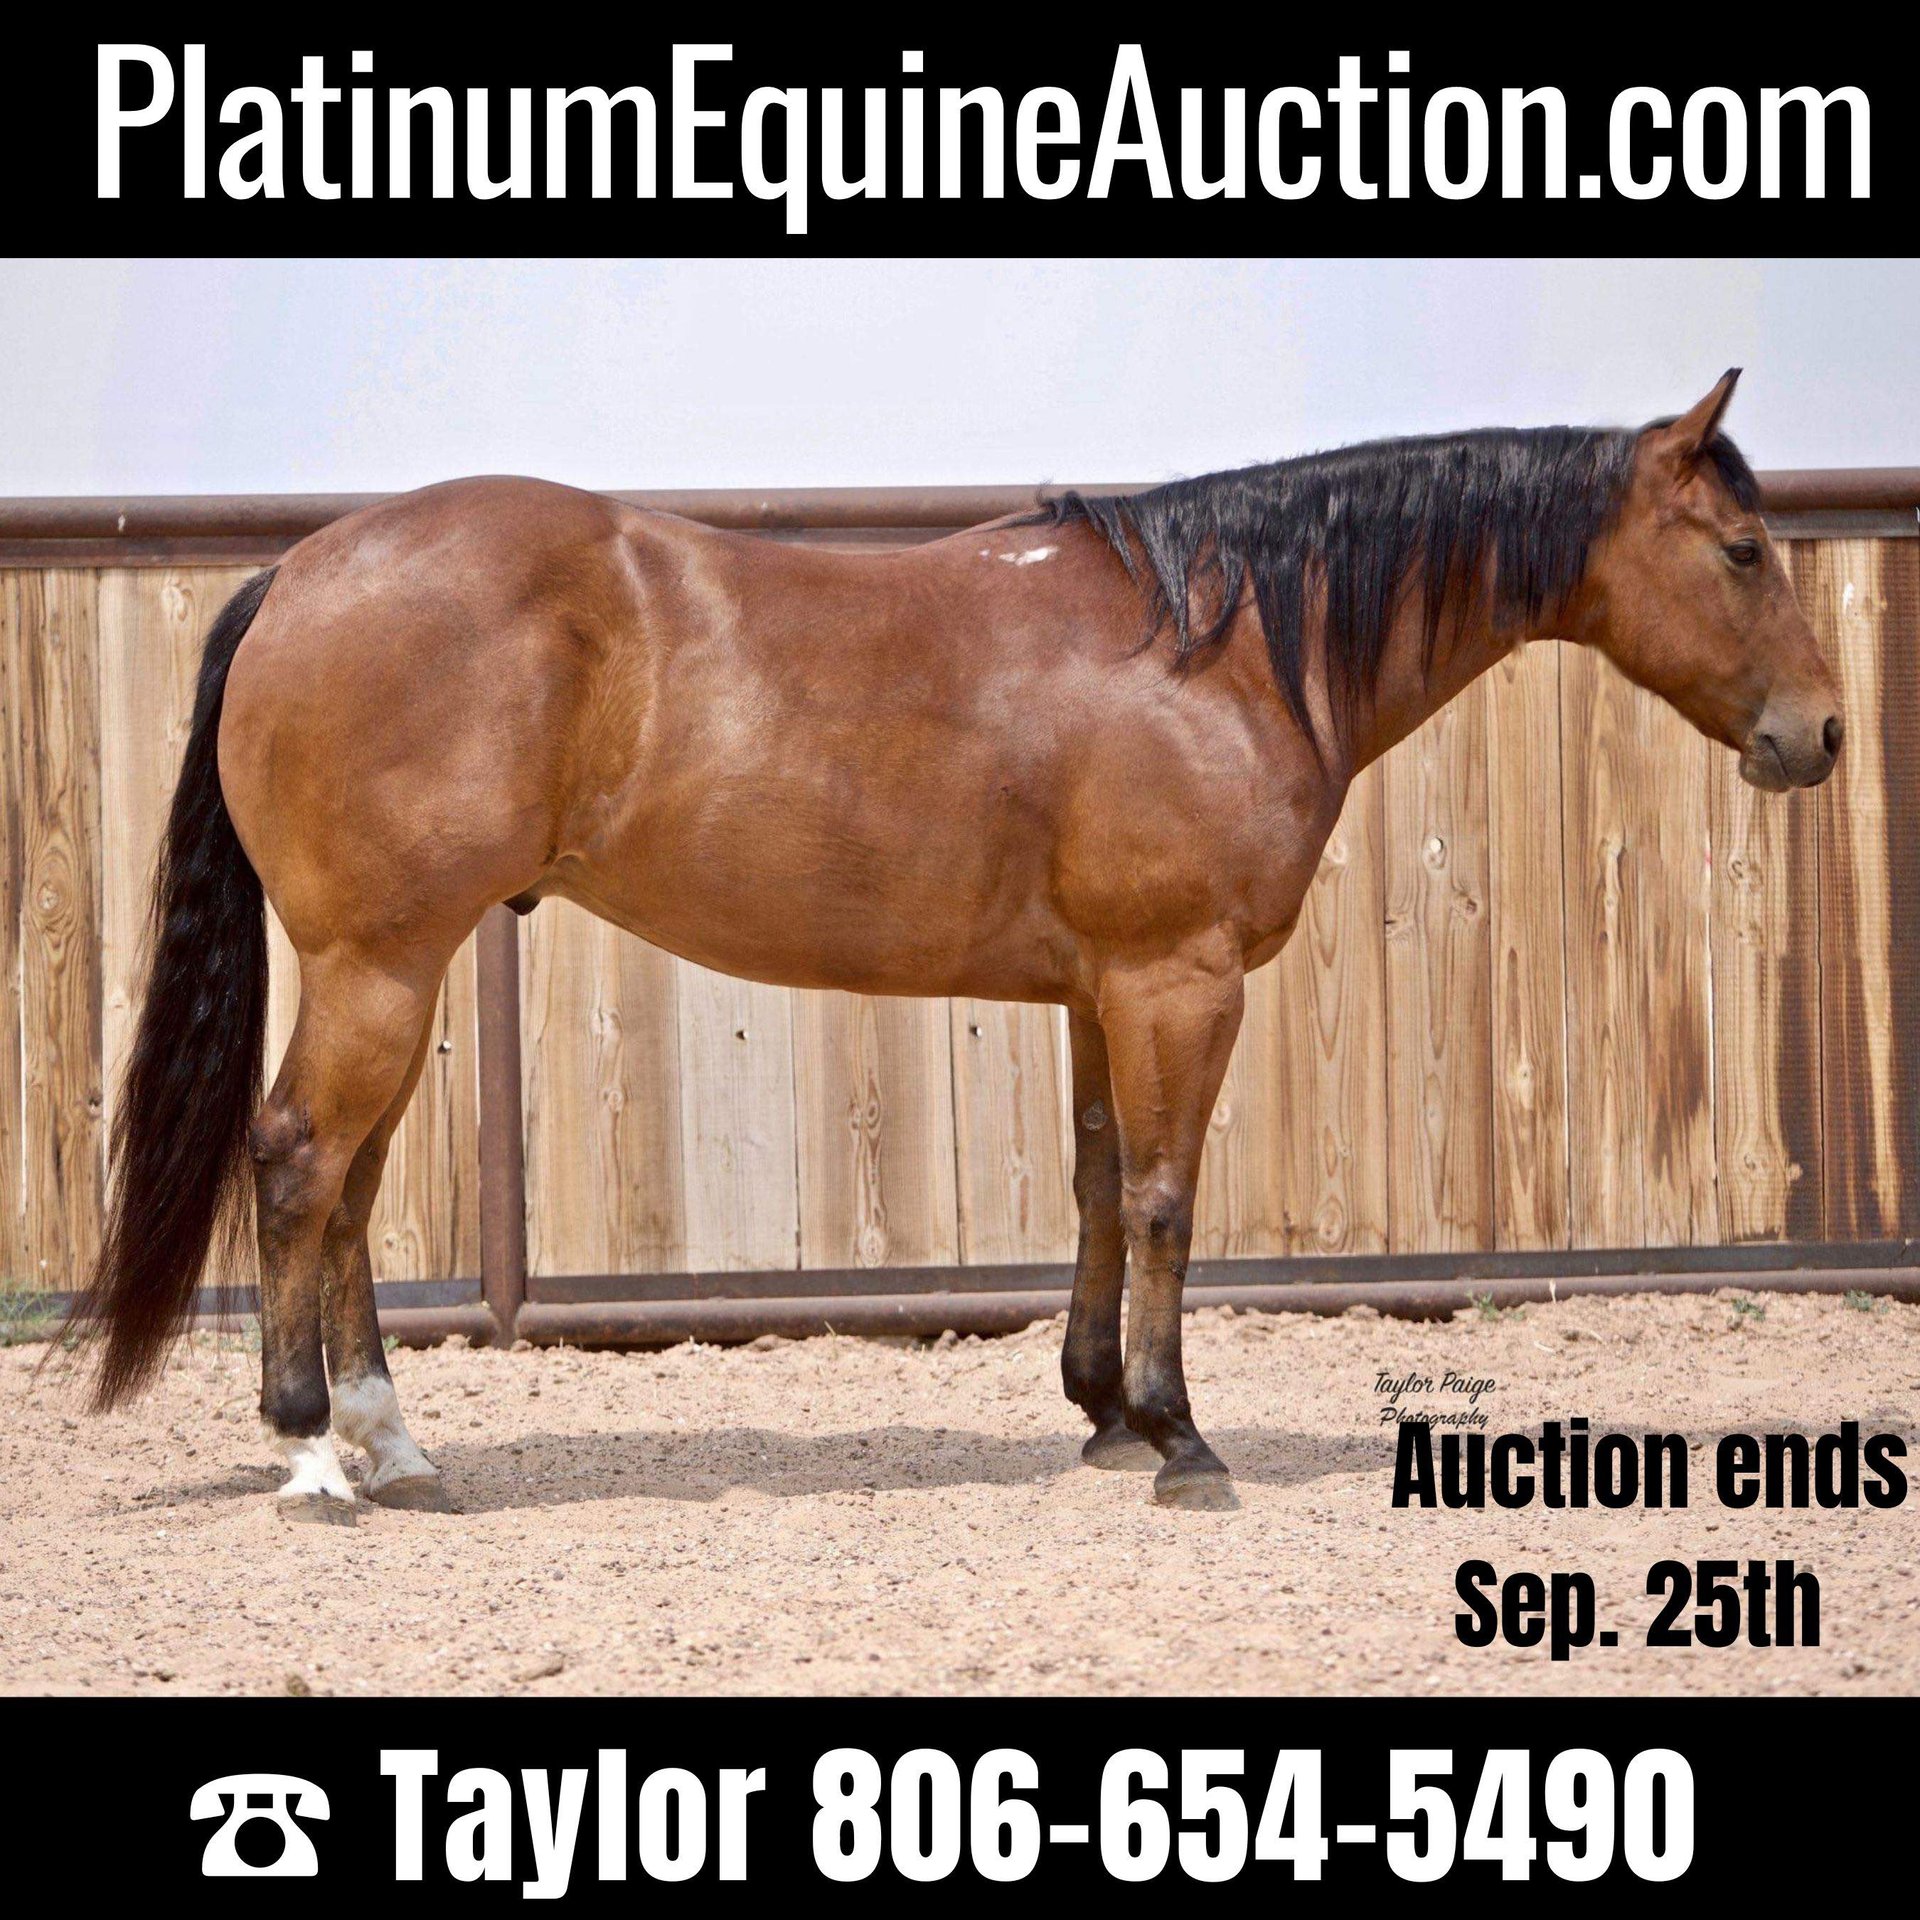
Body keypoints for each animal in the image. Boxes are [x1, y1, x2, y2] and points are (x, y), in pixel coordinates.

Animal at [70, 370, 1842, 1517]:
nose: (1818, 735)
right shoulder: (1179, 979)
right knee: (299, 1163)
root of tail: (306, 566)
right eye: (1742, 550)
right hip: (380, 962)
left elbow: (1098, 1186)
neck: (1218, 650)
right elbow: (1167, 1194)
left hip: (398, 964)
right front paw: (1180, 1438)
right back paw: (313, 1453)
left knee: (349, 1187)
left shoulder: (1099, 989)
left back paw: (395, 1443)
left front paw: (1105, 1414)